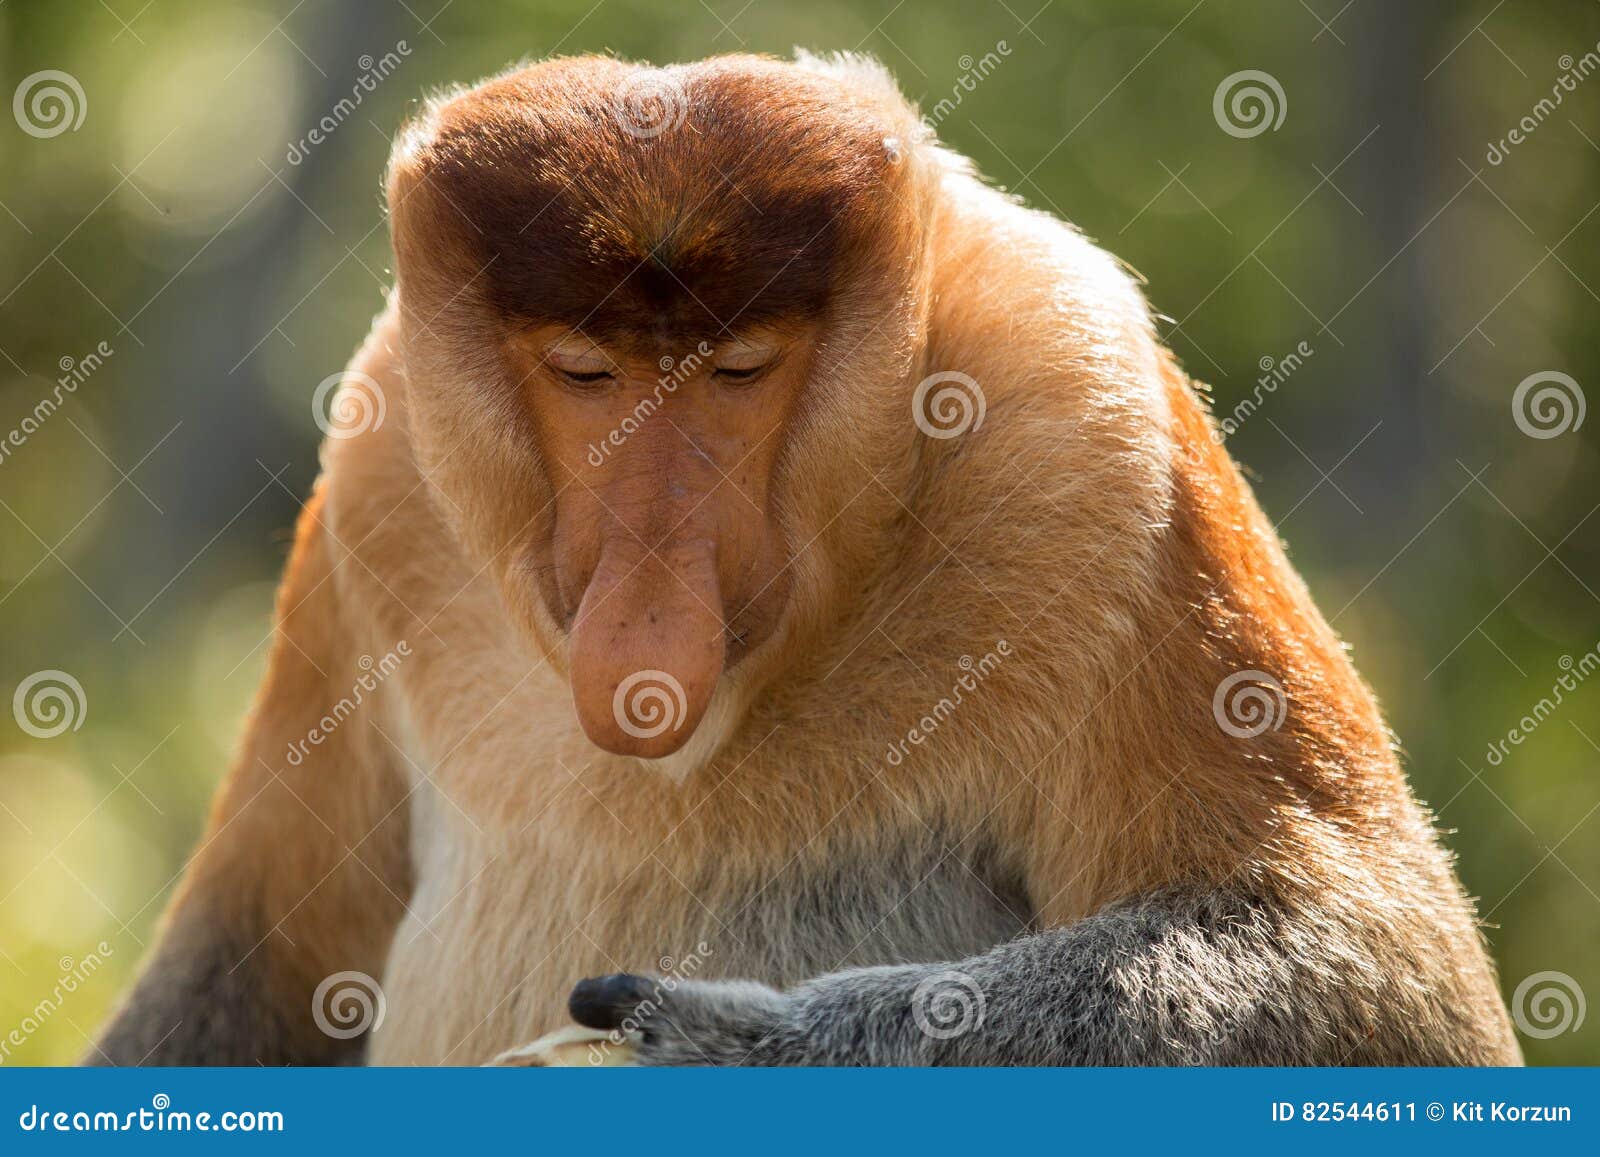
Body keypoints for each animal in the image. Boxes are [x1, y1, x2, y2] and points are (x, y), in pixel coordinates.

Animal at [90, 52, 1521, 1067]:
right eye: (586, 371)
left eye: (738, 370)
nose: (649, 600)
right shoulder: (380, 473)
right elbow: (254, 966)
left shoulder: (1086, 421)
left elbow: (1361, 958)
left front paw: (717, 1044)